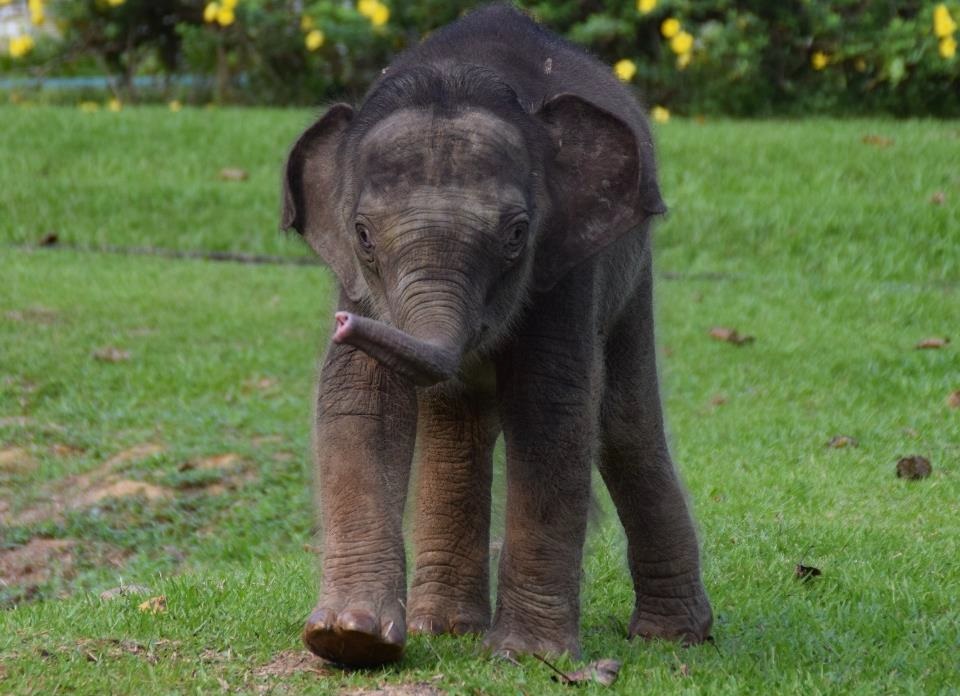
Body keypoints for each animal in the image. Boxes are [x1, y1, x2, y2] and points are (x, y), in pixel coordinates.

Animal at [281, 4, 712, 667]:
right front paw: (347, 638)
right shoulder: (358, 284)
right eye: (362, 235)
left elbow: (551, 407)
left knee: (624, 424)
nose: (344, 325)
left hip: (634, 268)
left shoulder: (568, 262)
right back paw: (446, 628)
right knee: (459, 423)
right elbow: (358, 400)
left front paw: (531, 654)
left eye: (515, 234)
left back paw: (672, 637)